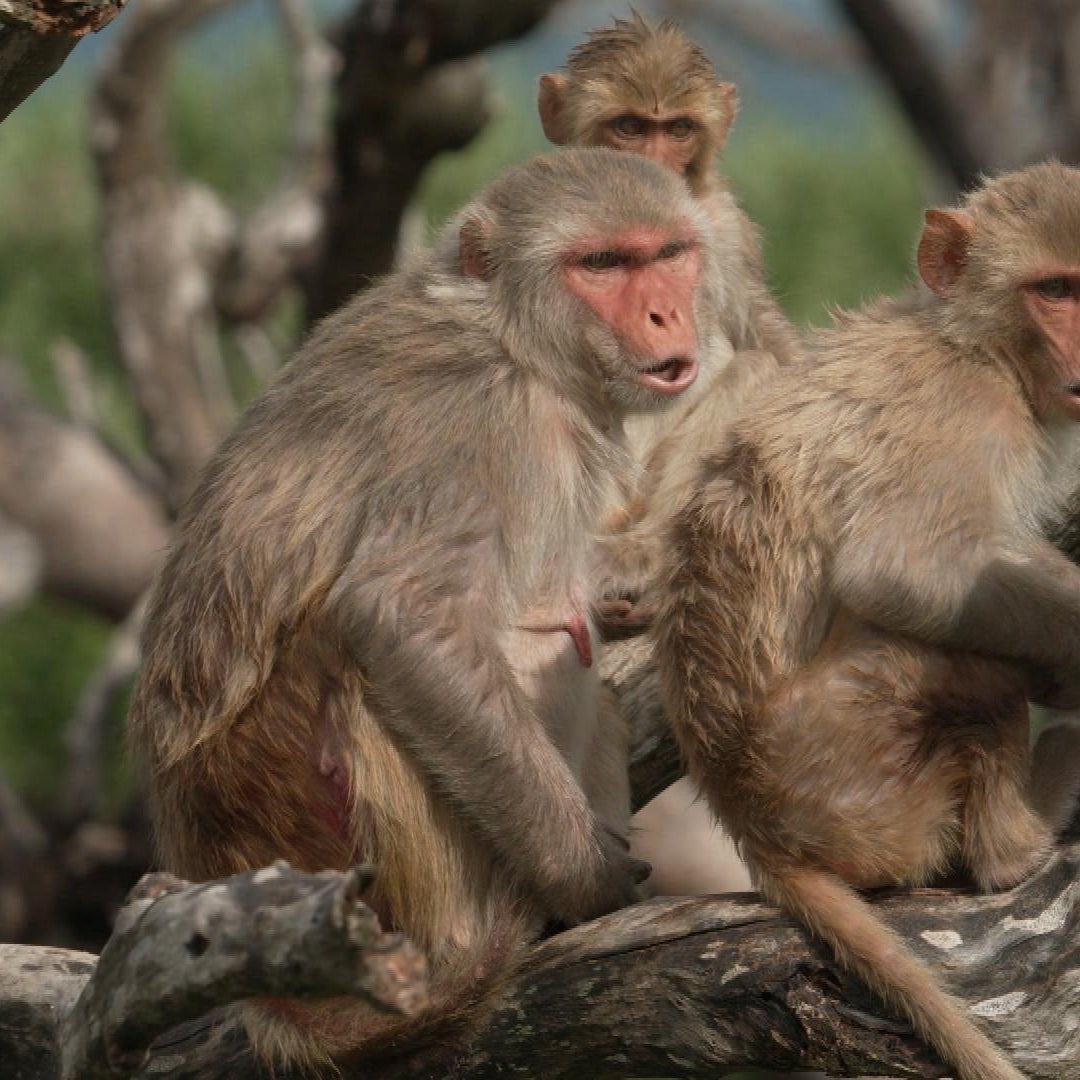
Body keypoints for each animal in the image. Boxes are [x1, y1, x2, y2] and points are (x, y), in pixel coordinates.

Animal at [125, 147, 736, 1070]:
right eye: (601, 264)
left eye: (666, 254)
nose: (666, 312)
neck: (514, 340)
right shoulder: (479, 423)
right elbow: (404, 616)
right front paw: (583, 873)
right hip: (314, 828)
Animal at [652, 161, 1080, 1080]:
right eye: (1056, 290)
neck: (975, 346)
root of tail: (750, 823)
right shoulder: (962, 411)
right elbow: (899, 569)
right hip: (841, 772)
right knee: (974, 669)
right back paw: (1017, 843)